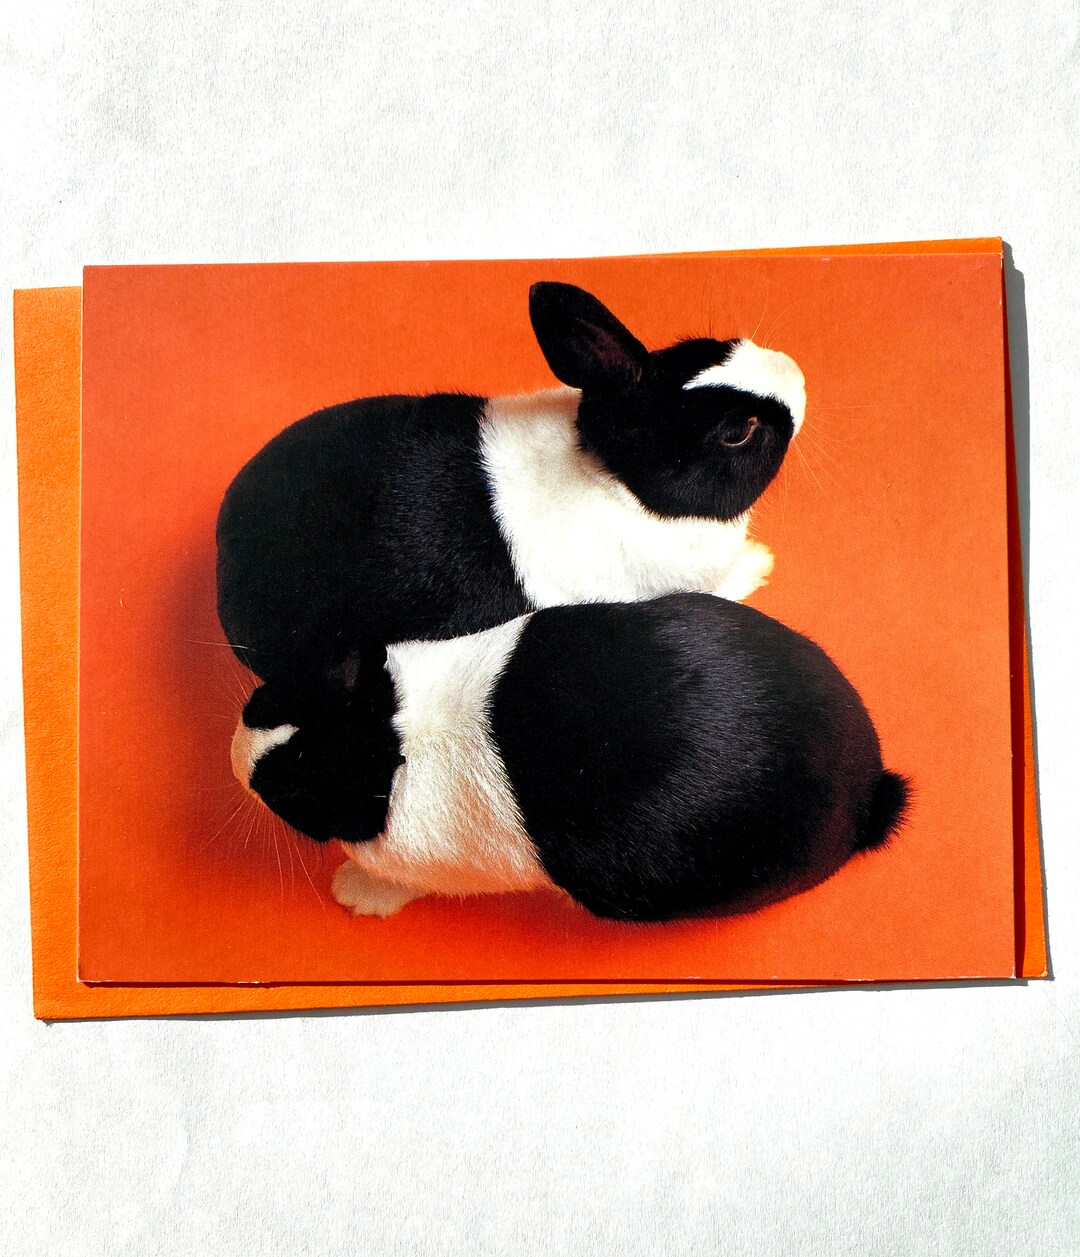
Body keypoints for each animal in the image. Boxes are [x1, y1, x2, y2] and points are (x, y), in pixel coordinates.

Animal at [216, 281, 805, 686]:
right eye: (737, 432)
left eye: (706, 344)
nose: (797, 377)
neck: (616, 477)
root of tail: (224, 570)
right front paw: (763, 563)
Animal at [230, 593, 907, 924]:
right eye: (286, 690)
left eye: (301, 781)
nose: (238, 759)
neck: (396, 735)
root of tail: (869, 788)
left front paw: (353, 893)